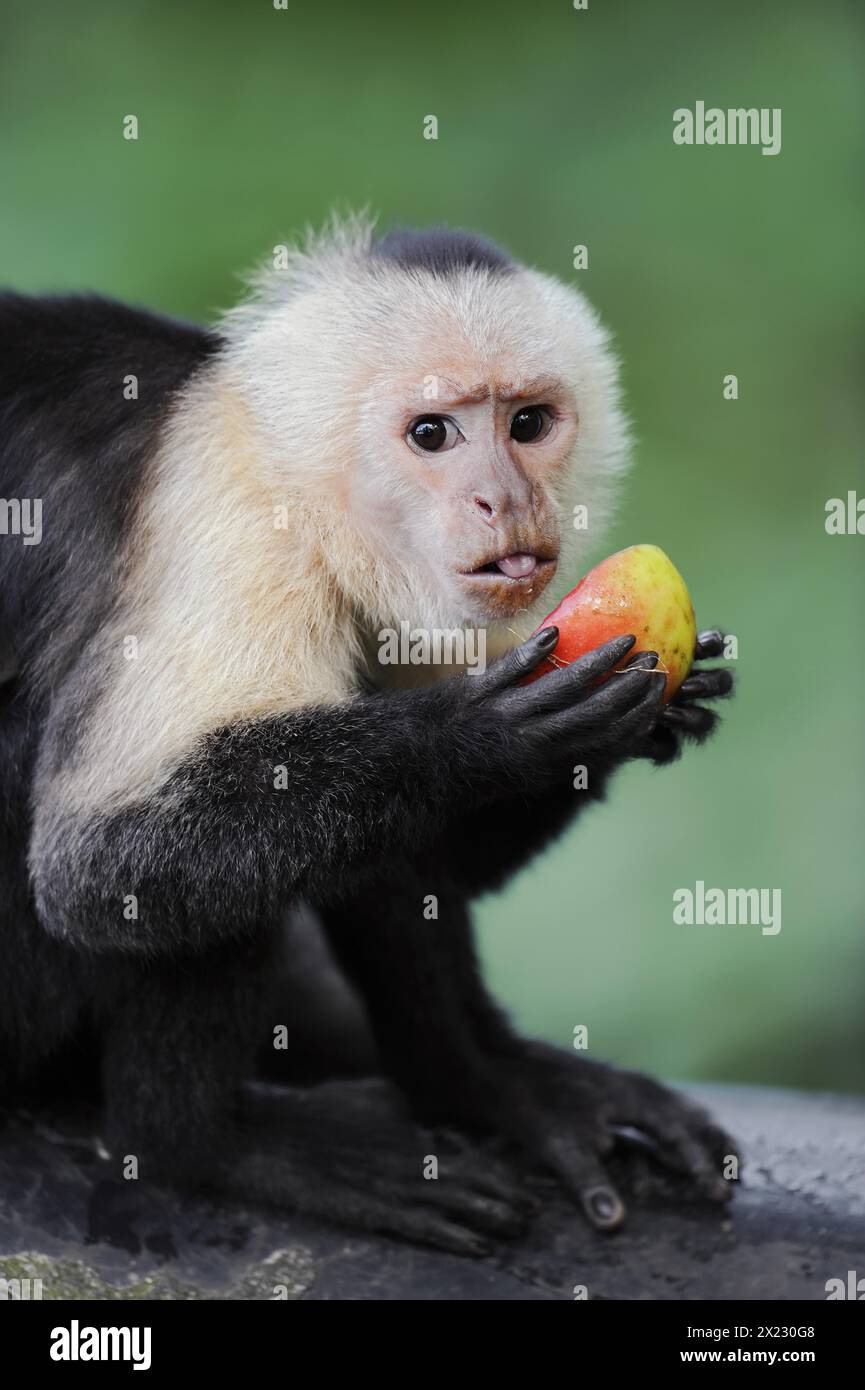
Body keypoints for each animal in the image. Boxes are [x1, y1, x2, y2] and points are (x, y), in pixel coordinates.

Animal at [0, 217, 736, 1255]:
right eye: (432, 434)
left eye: (528, 424)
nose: (502, 500)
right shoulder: (233, 527)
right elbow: (102, 870)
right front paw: (471, 738)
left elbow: (421, 861)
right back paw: (202, 1149)